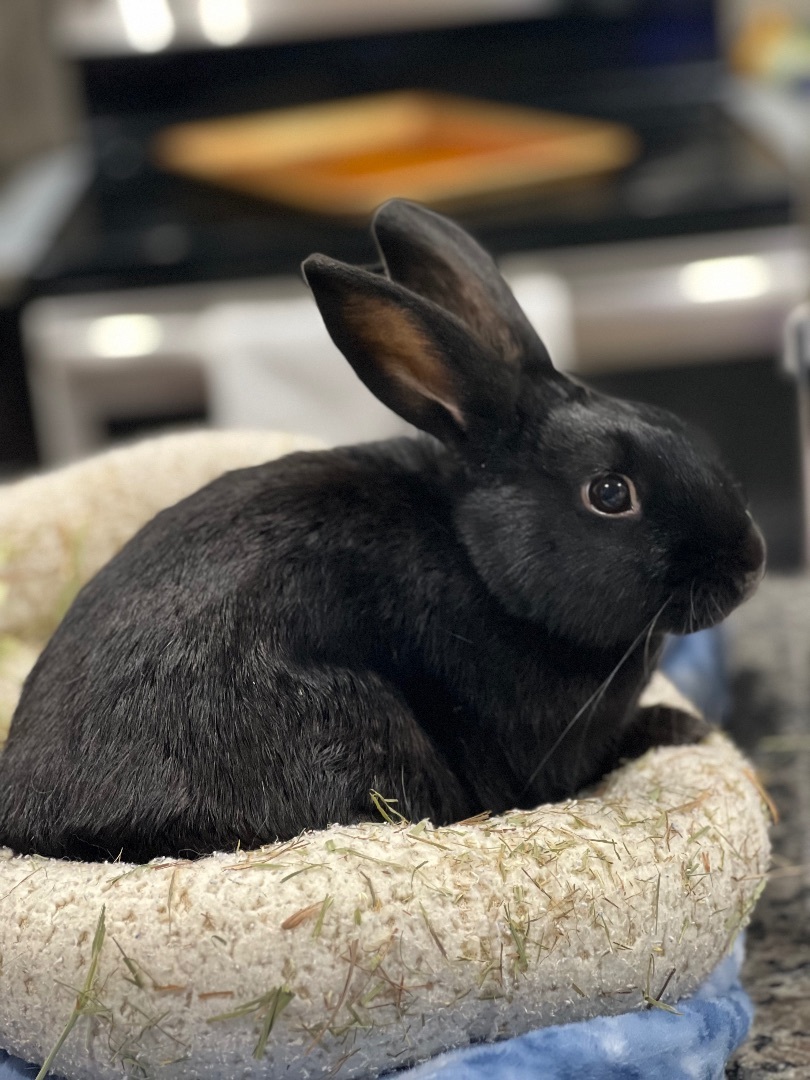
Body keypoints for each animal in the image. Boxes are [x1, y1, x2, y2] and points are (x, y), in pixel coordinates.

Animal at [0, 200, 765, 864]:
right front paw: (681, 727)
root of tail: (35, 826)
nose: (750, 562)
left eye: (670, 423)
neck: (484, 566)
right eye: (609, 493)